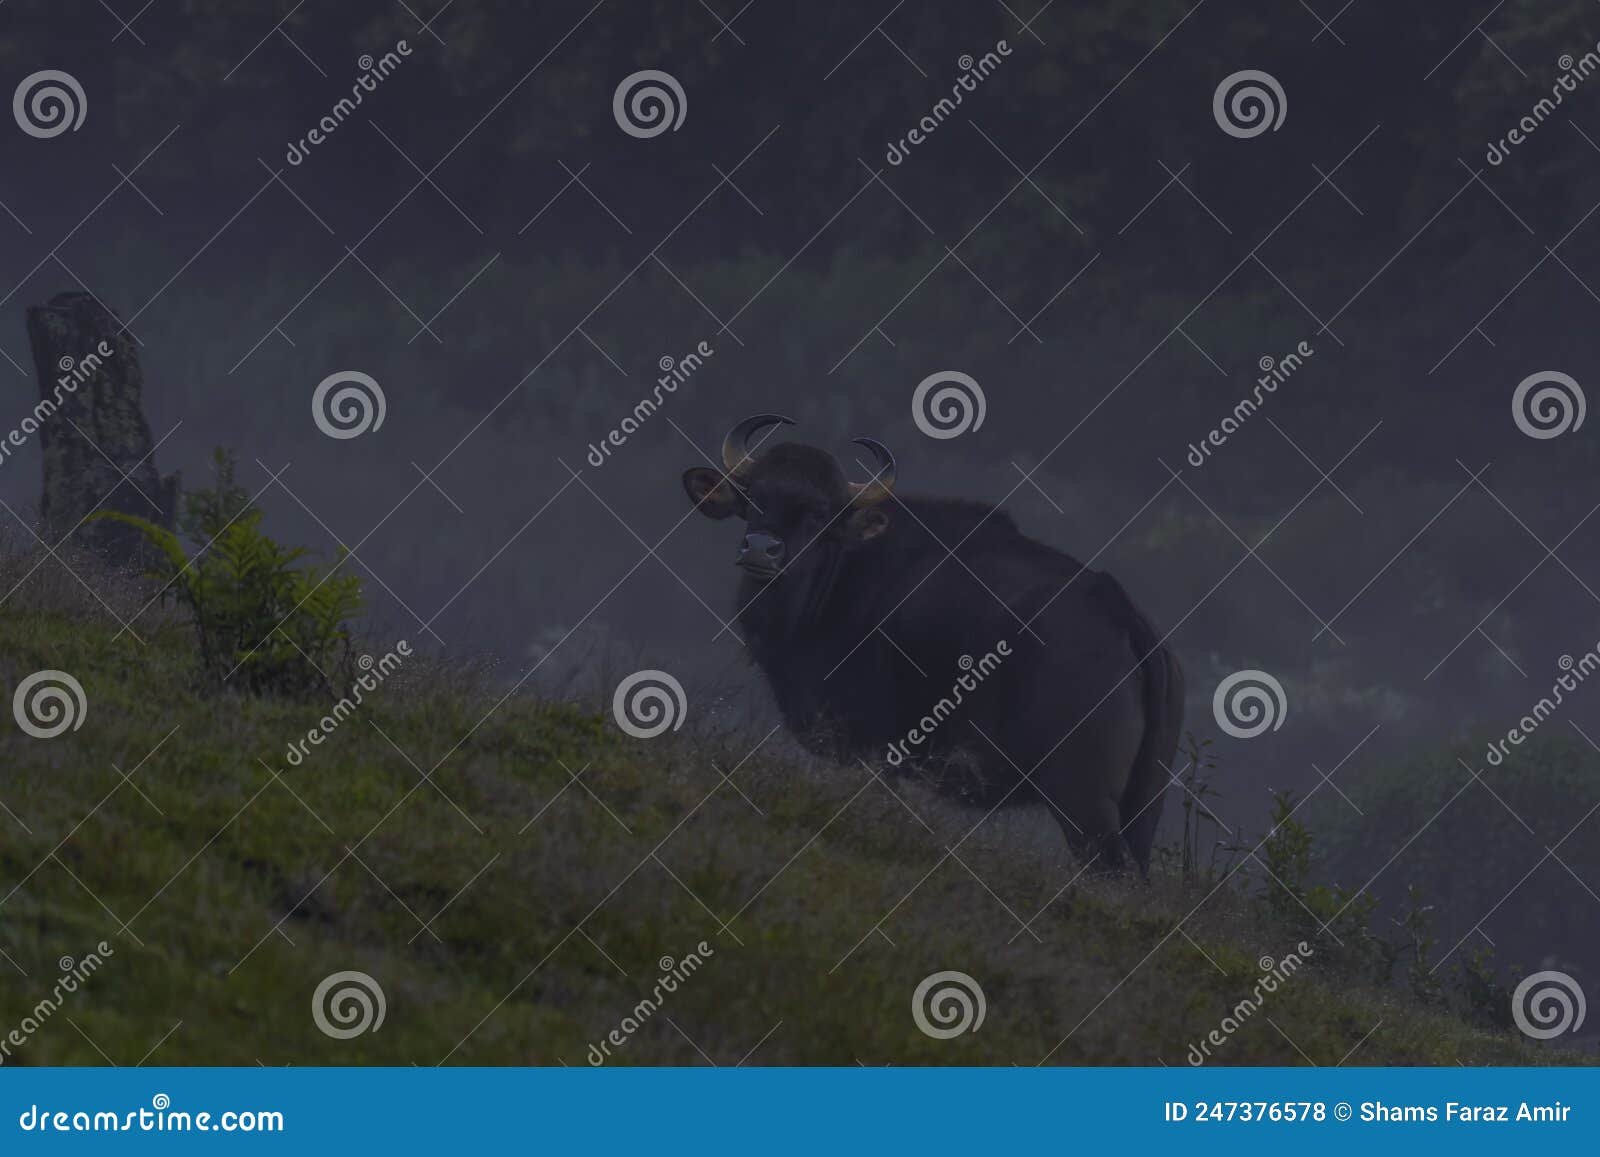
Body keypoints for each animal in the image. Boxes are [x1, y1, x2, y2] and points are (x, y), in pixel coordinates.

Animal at [682, 414, 1184, 873]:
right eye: (753, 498)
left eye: (819, 513)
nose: (759, 549)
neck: (834, 582)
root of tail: (1123, 616)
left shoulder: (871, 751)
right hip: (1143, 809)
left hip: (1083, 800)